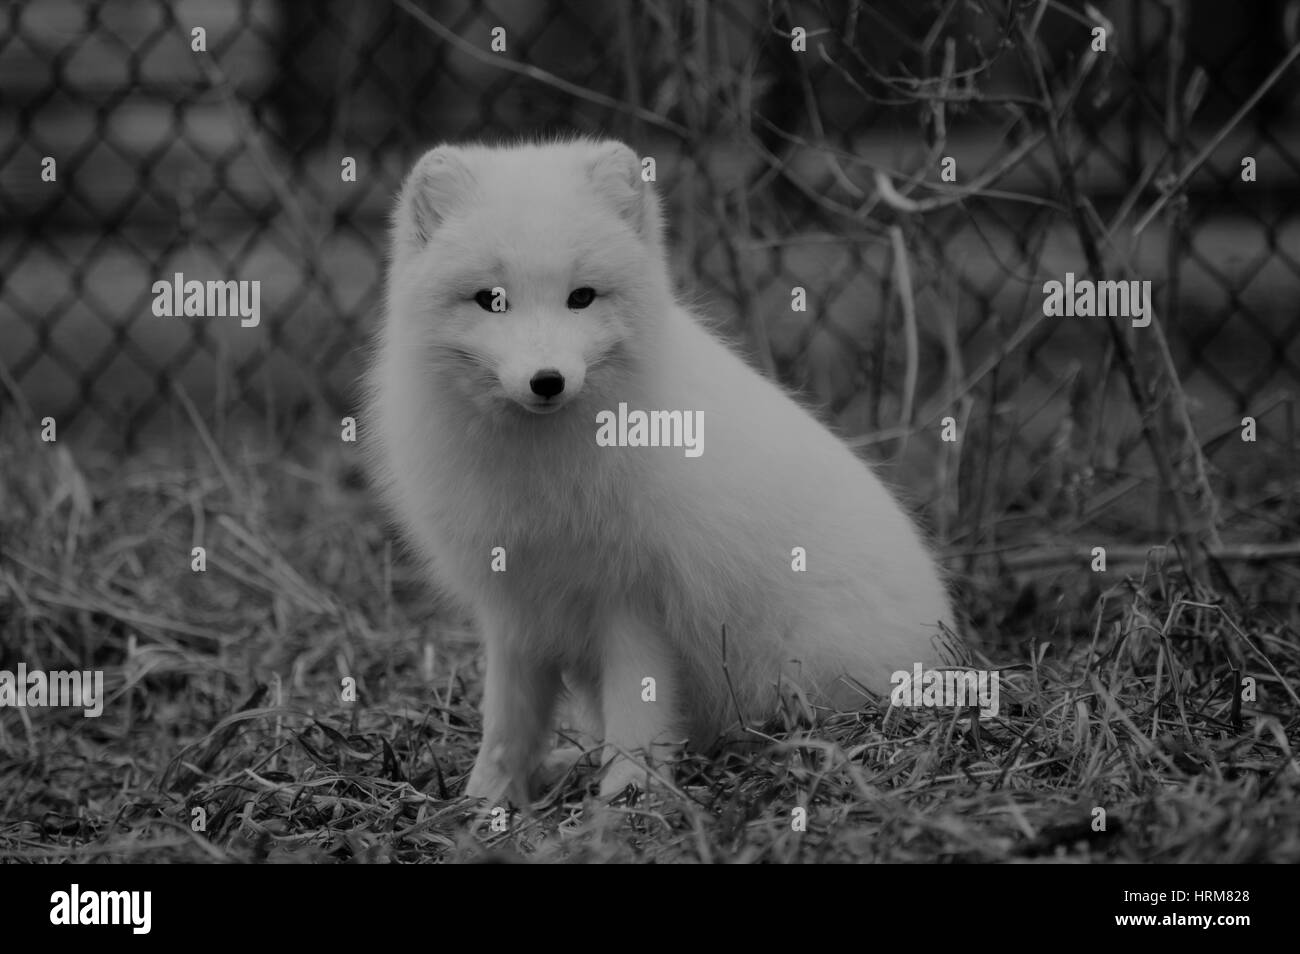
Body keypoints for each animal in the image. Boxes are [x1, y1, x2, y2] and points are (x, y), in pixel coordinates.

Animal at [366, 138, 955, 805]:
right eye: (491, 299)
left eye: (582, 297)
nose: (547, 381)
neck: (541, 464)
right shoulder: (514, 605)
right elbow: (507, 724)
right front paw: (483, 802)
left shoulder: (636, 599)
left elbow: (638, 712)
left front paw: (629, 798)